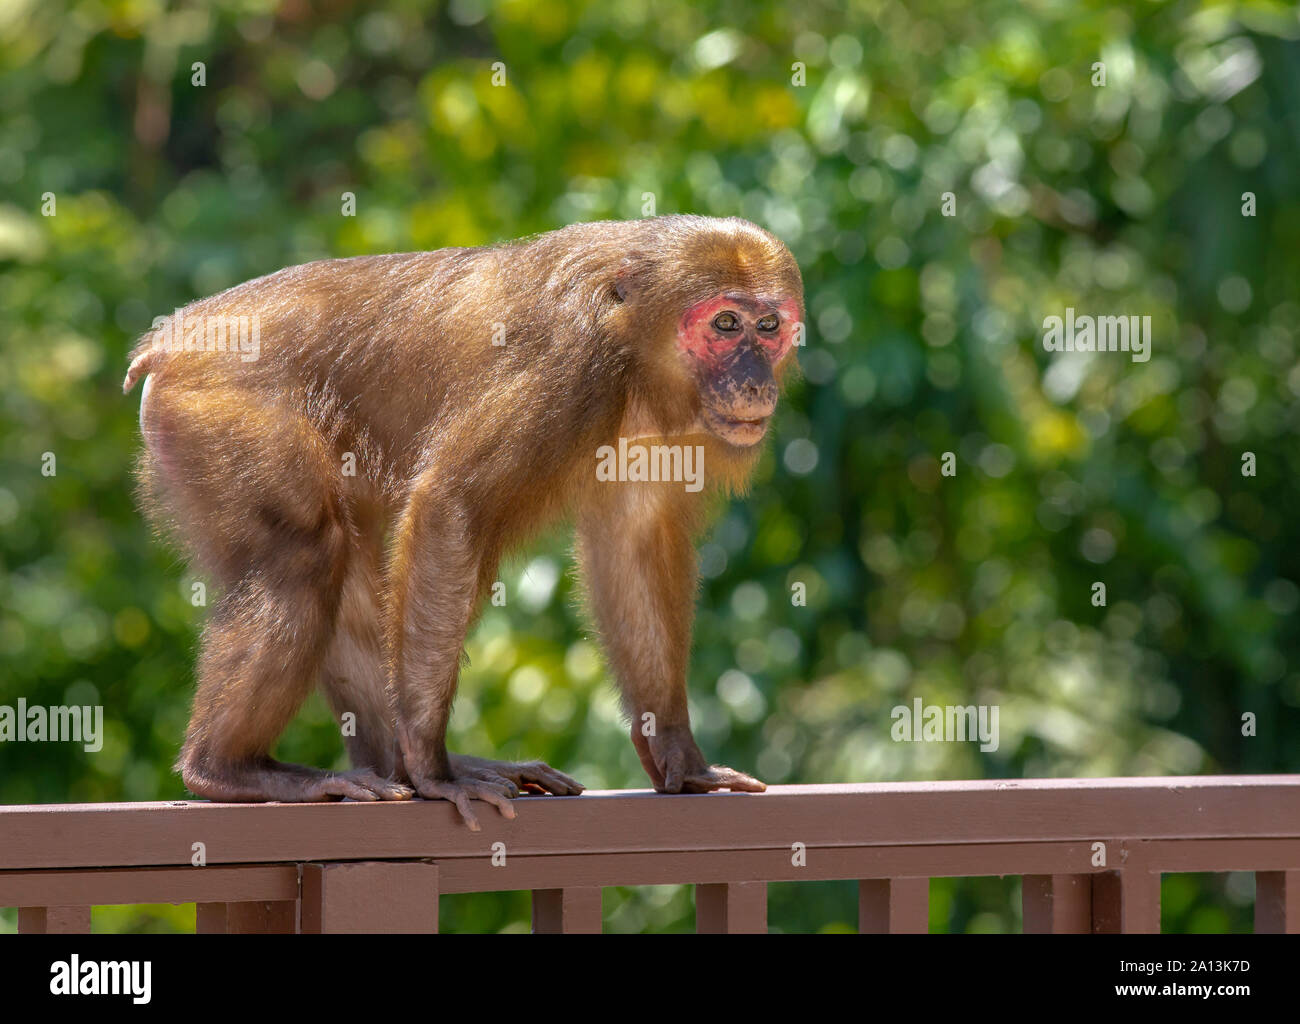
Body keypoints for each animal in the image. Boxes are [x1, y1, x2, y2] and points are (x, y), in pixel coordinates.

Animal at [123, 214, 803, 830]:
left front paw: (678, 752)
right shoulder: (566, 362)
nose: (754, 382)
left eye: (768, 327)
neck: (631, 343)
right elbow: (449, 506)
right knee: (307, 549)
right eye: (725, 324)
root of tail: (175, 338)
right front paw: (432, 770)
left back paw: (389, 764)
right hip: (216, 405)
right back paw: (233, 770)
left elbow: (633, 541)